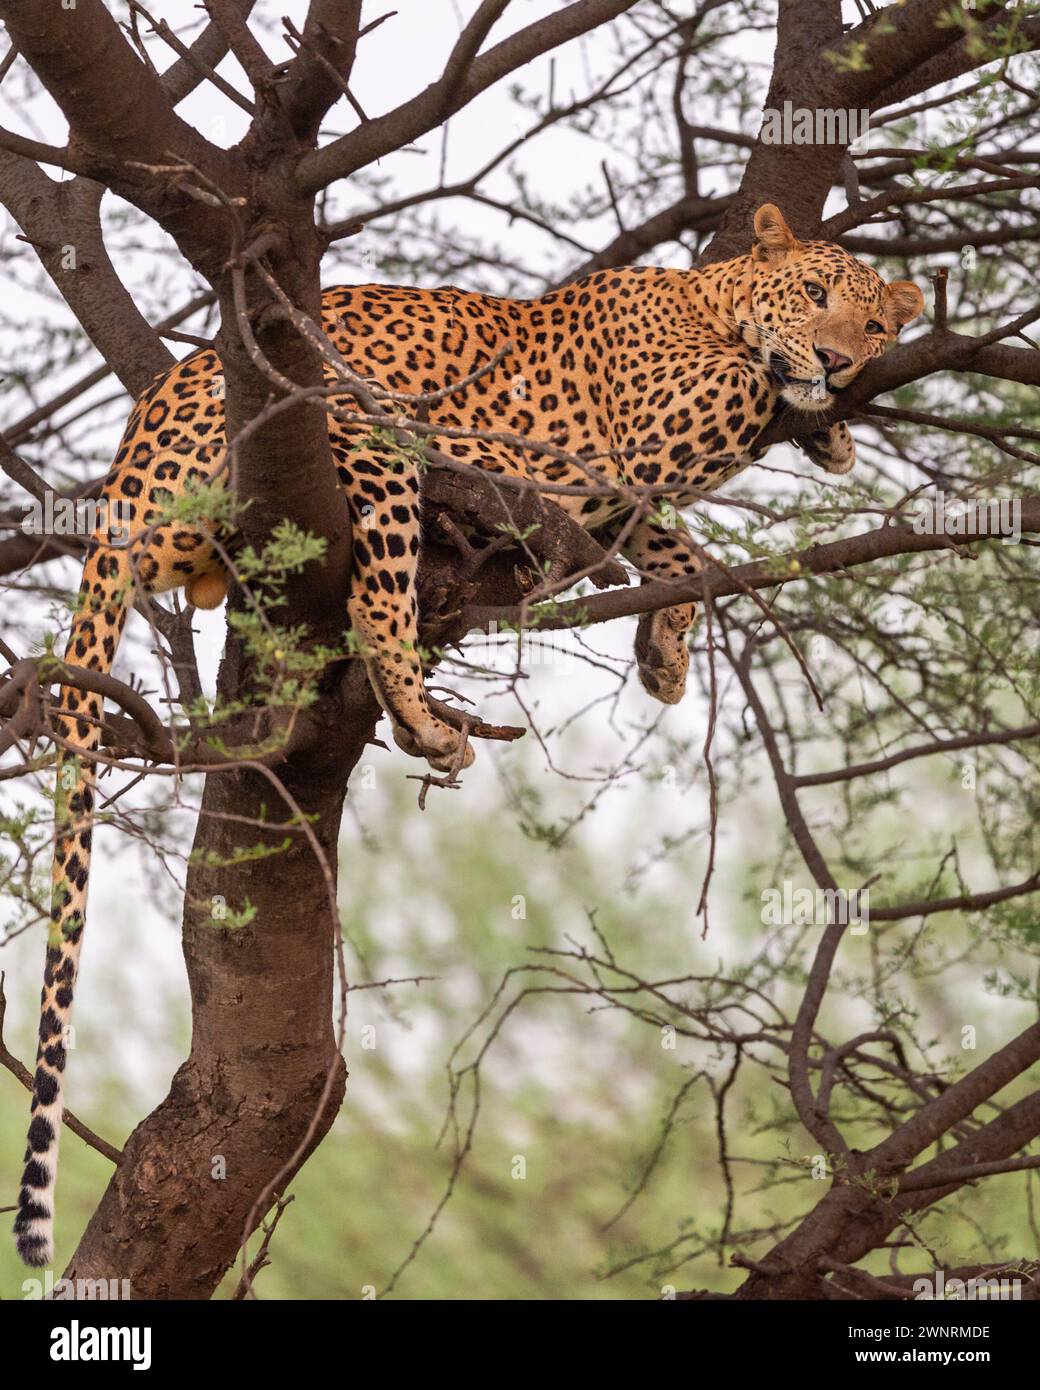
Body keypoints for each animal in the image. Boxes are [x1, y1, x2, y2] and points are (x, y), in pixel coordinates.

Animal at [13, 203, 923, 1265]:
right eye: (816, 295)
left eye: (876, 325)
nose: (837, 359)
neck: (708, 300)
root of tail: (130, 456)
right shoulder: (654, 429)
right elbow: (711, 450)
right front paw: (812, 415)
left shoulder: (625, 496)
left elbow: (676, 551)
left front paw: (666, 650)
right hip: (374, 449)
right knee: (374, 603)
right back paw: (424, 722)